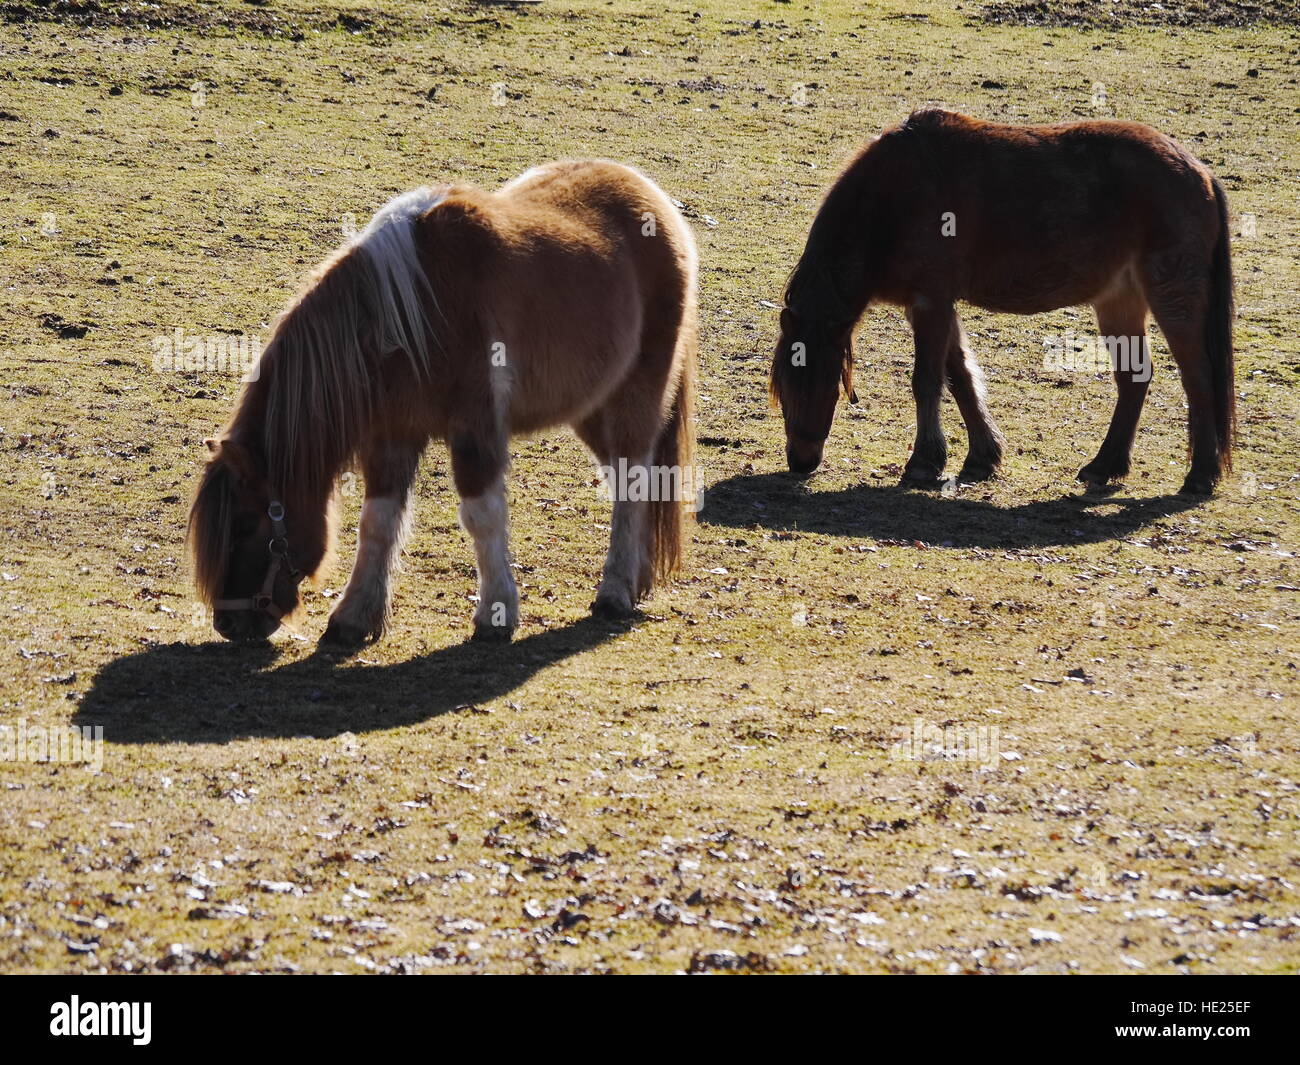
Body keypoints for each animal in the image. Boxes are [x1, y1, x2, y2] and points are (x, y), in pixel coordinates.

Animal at [189, 160, 698, 646]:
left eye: (246, 524)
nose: (229, 624)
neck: (409, 310)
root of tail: (649, 195)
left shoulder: (475, 427)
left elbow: (482, 516)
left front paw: (496, 615)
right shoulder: (392, 434)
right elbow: (377, 522)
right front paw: (353, 618)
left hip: (637, 392)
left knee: (632, 480)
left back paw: (615, 591)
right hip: (590, 407)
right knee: (627, 478)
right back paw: (637, 578)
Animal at [770, 109, 1235, 496]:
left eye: (814, 378)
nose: (800, 461)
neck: (894, 197)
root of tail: (1200, 173)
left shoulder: (930, 302)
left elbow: (927, 381)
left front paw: (923, 464)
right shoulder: (935, 306)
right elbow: (960, 377)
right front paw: (982, 457)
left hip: (1172, 297)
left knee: (1198, 378)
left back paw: (1200, 475)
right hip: (1119, 301)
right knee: (1134, 379)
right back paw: (1105, 466)